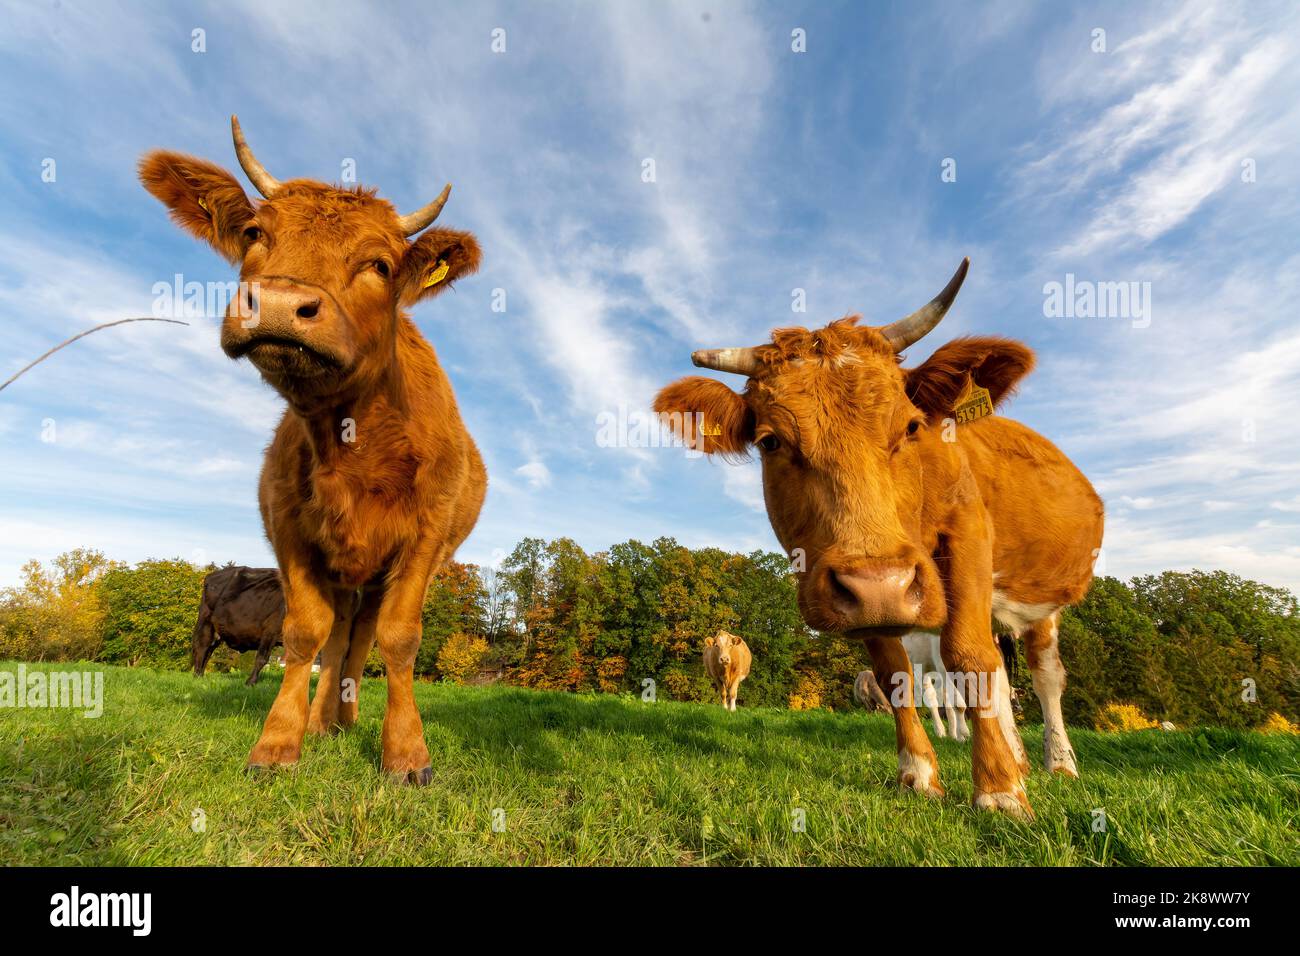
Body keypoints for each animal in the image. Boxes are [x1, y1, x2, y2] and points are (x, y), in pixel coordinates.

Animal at [140, 117, 486, 784]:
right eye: (255, 233)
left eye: (380, 264)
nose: (277, 303)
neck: (352, 443)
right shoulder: (289, 530)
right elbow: (304, 633)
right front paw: (279, 743)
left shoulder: (426, 538)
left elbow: (399, 638)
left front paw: (407, 755)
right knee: (340, 636)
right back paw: (326, 721)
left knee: (361, 637)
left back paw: (344, 721)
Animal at [654, 259, 1104, 818]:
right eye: (770, 441)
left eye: (911, 426)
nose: (881, 583)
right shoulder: (857, 591)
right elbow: (896, 675)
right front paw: (920, 773)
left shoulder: (966, 536)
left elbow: (969, 657)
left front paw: (998, 790)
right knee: (1000, 674)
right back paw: (1018, 757)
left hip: (1041, 601)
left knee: (1043, 675)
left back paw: (1056, 763)